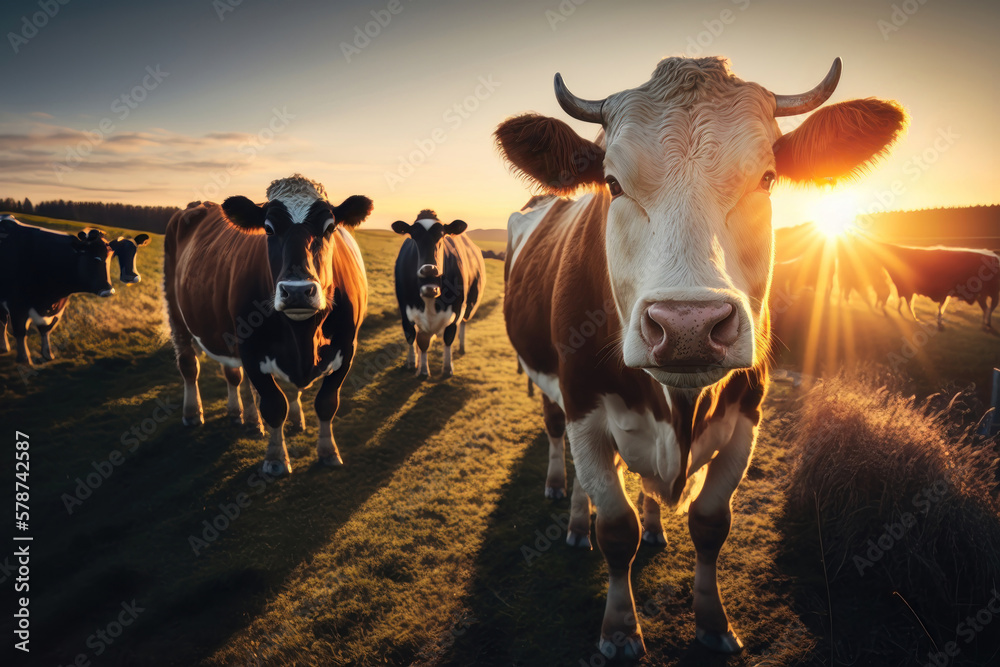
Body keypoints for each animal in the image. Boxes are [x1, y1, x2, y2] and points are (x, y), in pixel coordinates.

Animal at [0, 216, 115, 364]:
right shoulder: (17, 305)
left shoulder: (58, 307)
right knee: (3, 321)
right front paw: (24, 358)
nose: (108, 290)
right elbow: (20, 332)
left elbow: (46, 330)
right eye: (95, 258)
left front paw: (48, 354)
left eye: (110, 258)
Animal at [163, 175, 371, 475]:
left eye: (330, 227)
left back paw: (246, 417)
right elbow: (273, 405)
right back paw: (193, 413)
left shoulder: (347, 348)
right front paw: (276, 459)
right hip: (176, 310)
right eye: (269, 229)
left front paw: (328, 451)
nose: (297, 291)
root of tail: (197, 204)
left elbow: (326, 402)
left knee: (234, 374)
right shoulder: (251, 349)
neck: (303, 338)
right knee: (189, 364)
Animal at [391, 209, 486, 377]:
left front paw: (447, 368)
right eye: (413, 235)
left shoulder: (456, 309)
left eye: (442, 235)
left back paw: (462, 347)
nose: (429, 270)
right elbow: (415, 338)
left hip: (470, 302)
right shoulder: (404, 309)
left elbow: (448, 337)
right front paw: (417, 366)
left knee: (464, 322)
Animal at [495, 56, 906, 657]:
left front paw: (713, 622)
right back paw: (570, 515)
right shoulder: (585, 410)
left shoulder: (746, 420)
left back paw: (652, 524)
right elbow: (613, 529)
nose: (687, 326)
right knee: (558, 444)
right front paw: (620, 628)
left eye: (767, 178)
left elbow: (711, 523)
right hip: (550, 387)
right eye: (612, 183)